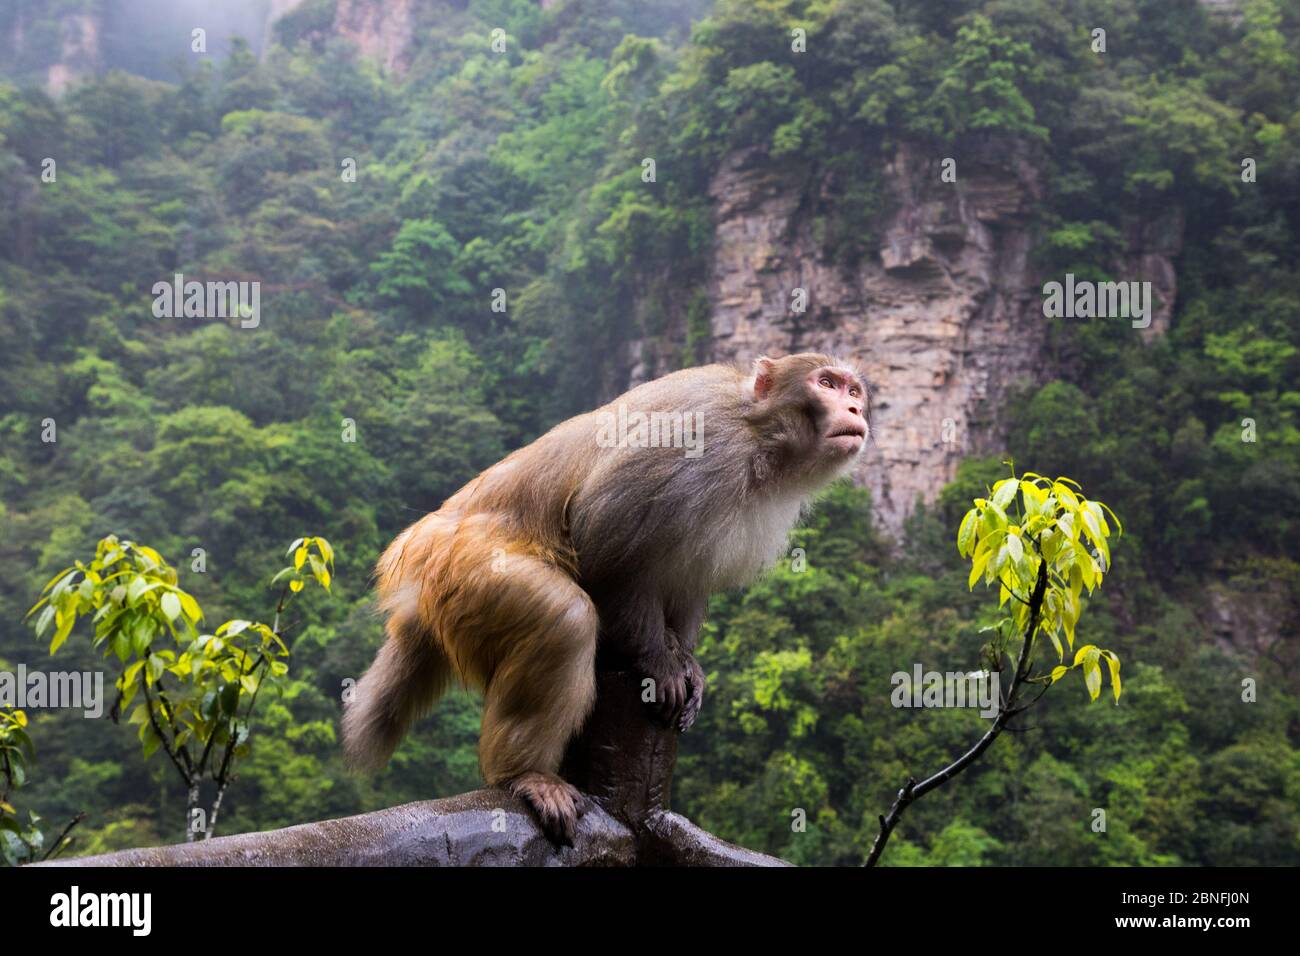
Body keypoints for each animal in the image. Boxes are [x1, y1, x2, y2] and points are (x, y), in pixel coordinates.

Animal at [341, 353, 870, 844]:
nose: (854, 407)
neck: (758, 436)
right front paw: (658, 661)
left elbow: (688, 575)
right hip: (464, 571)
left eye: (853, 389)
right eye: (825, 383)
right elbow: (605, 544)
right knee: (566, 617)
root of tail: (414, 571)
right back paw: (524, 773)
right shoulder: (698, 441)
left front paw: (685, 661)